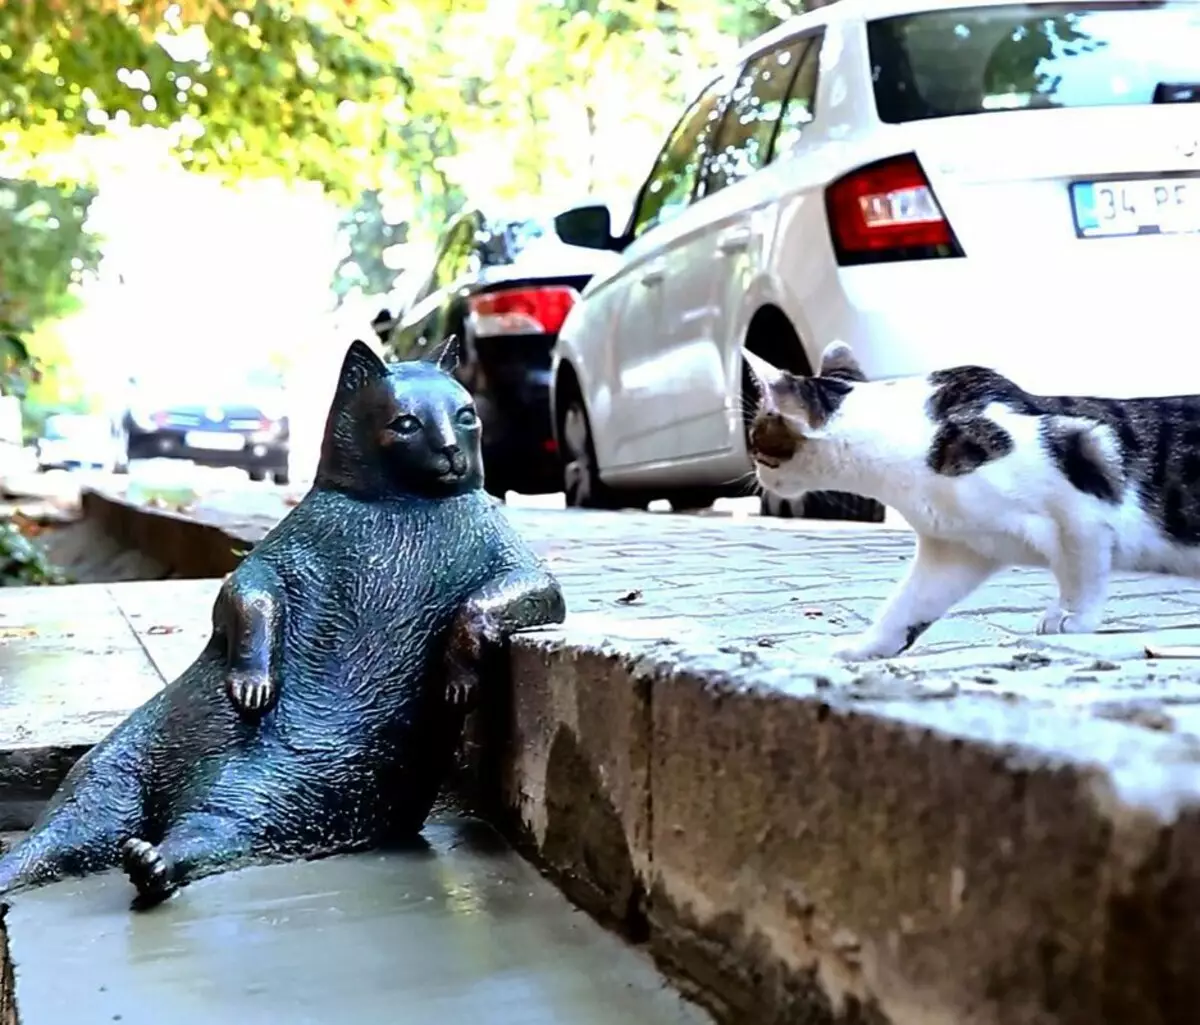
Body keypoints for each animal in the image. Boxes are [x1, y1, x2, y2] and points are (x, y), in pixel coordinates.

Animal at [739, 345, 1200, 662]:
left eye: (756, 442)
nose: (756, 477)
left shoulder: (1085, 477)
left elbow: (1080, 567)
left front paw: (1072, 616)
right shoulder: (957, 547)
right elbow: (905, 606)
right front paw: (864, 648)